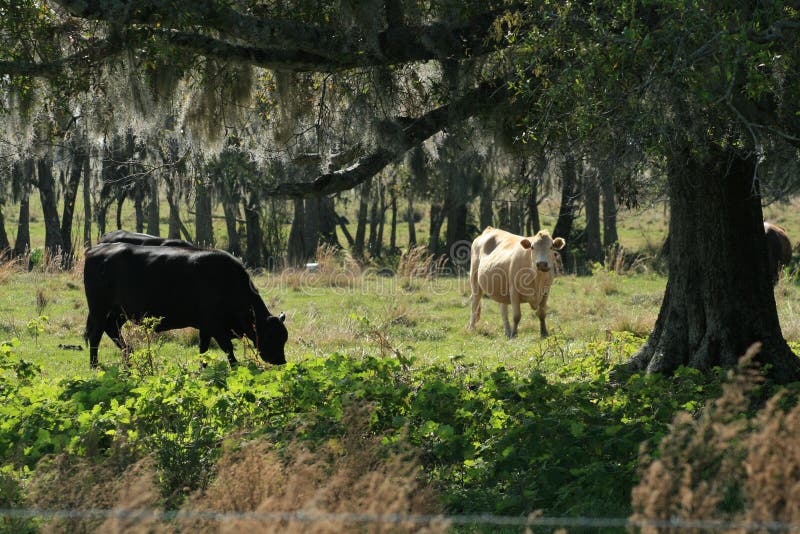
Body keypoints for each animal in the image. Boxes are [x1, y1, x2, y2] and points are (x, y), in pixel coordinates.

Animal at [83, 242, 288, 368]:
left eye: (283, 338)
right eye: (270, 336)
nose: (281, 361)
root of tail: (96, 250)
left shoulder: (206, 327)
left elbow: (203, 349)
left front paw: (203, 368)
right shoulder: (216, 326)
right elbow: (227, 348)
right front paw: (235, 366)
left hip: (119, 313)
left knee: (112, 330)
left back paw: (129, 358)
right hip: (99, 310)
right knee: (96, 335)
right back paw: (94, 365)